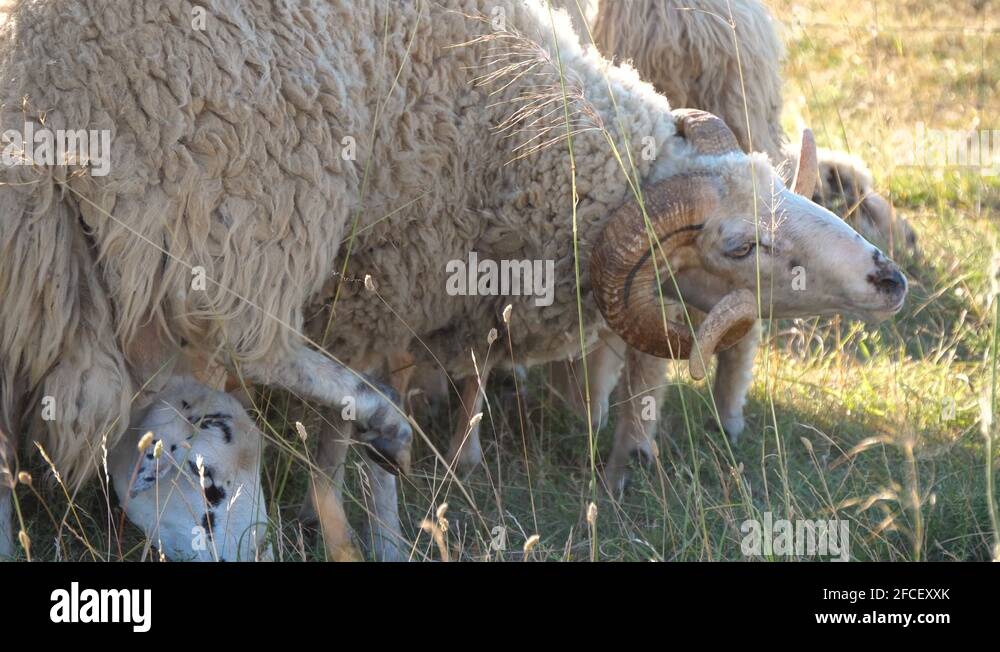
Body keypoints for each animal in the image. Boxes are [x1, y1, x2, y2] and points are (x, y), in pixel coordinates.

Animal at [0, 0, 905, 562]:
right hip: (249, 194)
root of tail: (35, 82)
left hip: (43, 272)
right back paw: (388, 422)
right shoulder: (382, 277)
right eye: (737, 245)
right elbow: (350, 435)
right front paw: (379, 522)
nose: (888, 278)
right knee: (247, 332)